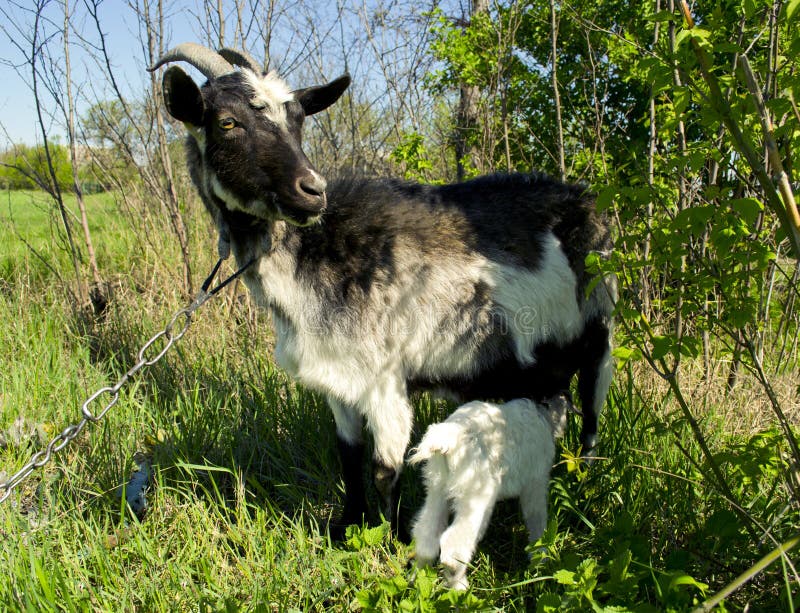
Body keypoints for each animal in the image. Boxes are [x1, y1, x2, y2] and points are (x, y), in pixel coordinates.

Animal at [149, 44, 616, 537]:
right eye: (227, 122)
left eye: (297, 120)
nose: (312, 191)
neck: (316, 253)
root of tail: (586, 200)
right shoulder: (337, 380)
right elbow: (349, 456)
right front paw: (345, 526)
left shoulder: (386, 379)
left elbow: (385, 469)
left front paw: (392, 541)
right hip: (541, 363)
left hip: (599, 336)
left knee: (591, 423)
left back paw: (582, 492)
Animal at [409, 395, 568, 590]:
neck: (542, 411)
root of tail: (448, 439)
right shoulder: (535, 481)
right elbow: (536, 519)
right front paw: (540, 557)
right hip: (474, 496)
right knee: (454, 546)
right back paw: (459, 588)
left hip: (437, 487)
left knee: (426, 536)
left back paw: (417, 579)